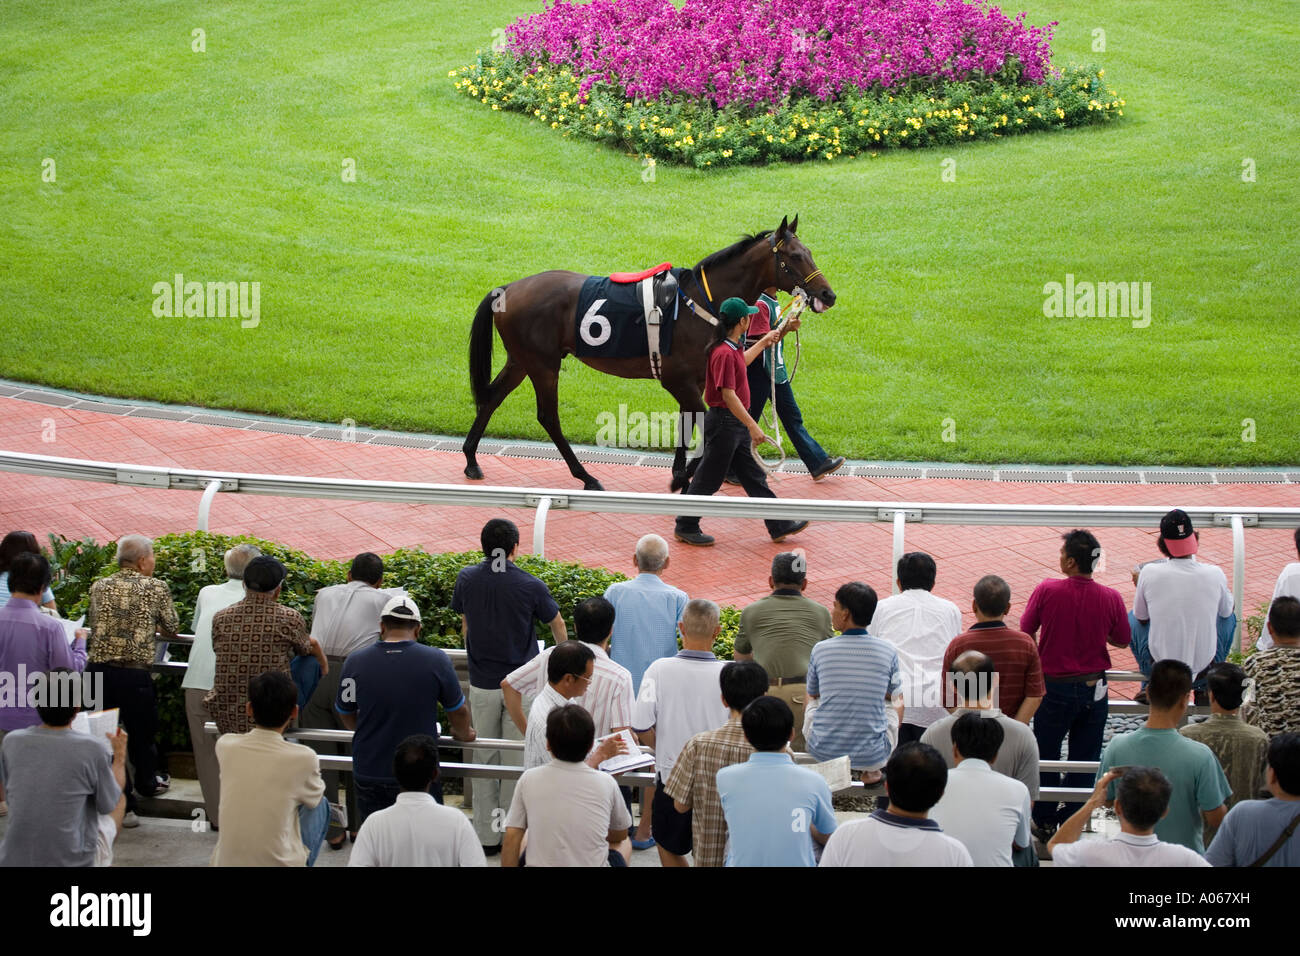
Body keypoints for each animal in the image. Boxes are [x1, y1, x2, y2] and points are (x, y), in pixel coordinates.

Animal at [462, 215, 836, 491]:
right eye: (795, 256)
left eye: (809, 251)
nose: (828, 294)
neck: (701, 302)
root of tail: (507, 289)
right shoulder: (678, 379)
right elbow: (703, 422)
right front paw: (686, 474)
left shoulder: (697, 379)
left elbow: (690, 422)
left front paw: (680, 473)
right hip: (543, 364)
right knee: (547, 416)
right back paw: (586, 476)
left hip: (521, 360)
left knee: (492, 398)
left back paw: (471, 460)